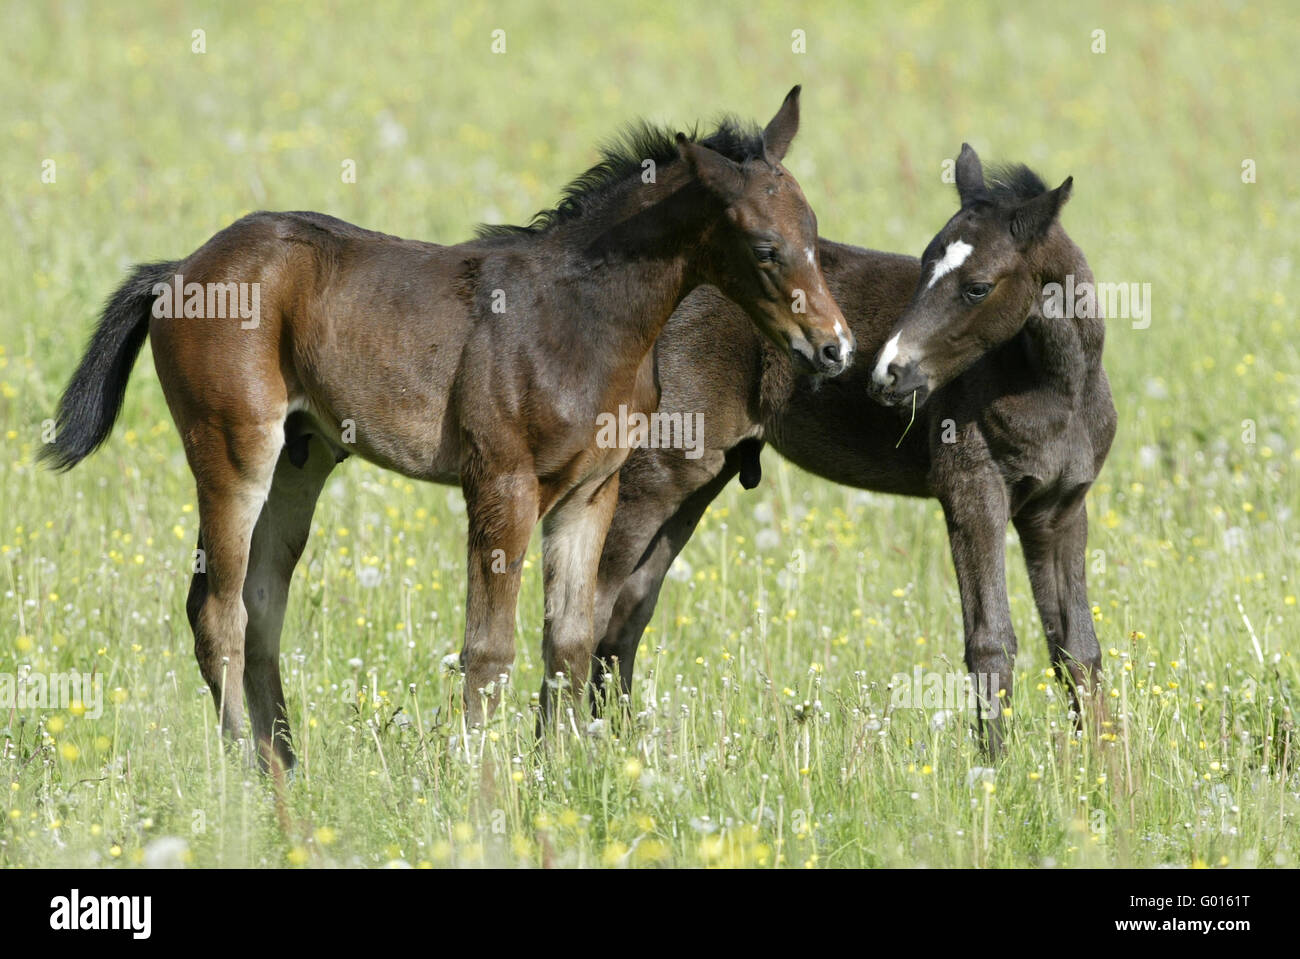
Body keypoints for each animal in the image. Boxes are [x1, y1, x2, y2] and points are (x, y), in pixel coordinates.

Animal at [42, 87, 853, 772]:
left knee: (260, 605)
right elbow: (488, 649)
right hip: (234, 450)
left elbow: (570, 641)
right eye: (764, 247)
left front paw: (557, 775)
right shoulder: (501, 481)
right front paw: (479, 781)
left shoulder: (592, 491)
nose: (835, 347)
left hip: (302, 459)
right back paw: (248, 769)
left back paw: (289, 767)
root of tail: (178, 267)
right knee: (217, 609)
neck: (583, 318)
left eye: (816, 234)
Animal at [591, 144, 1116, 751]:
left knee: (629, 607)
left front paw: (1101, 764)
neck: (1057, 390)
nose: (887, 373)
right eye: (924, 264)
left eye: (978, 287)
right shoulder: (972, 492)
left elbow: (1077, 648)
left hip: (695, 481)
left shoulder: (1060, 508)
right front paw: (996, 765)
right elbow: (991, 639)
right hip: (655, 472)